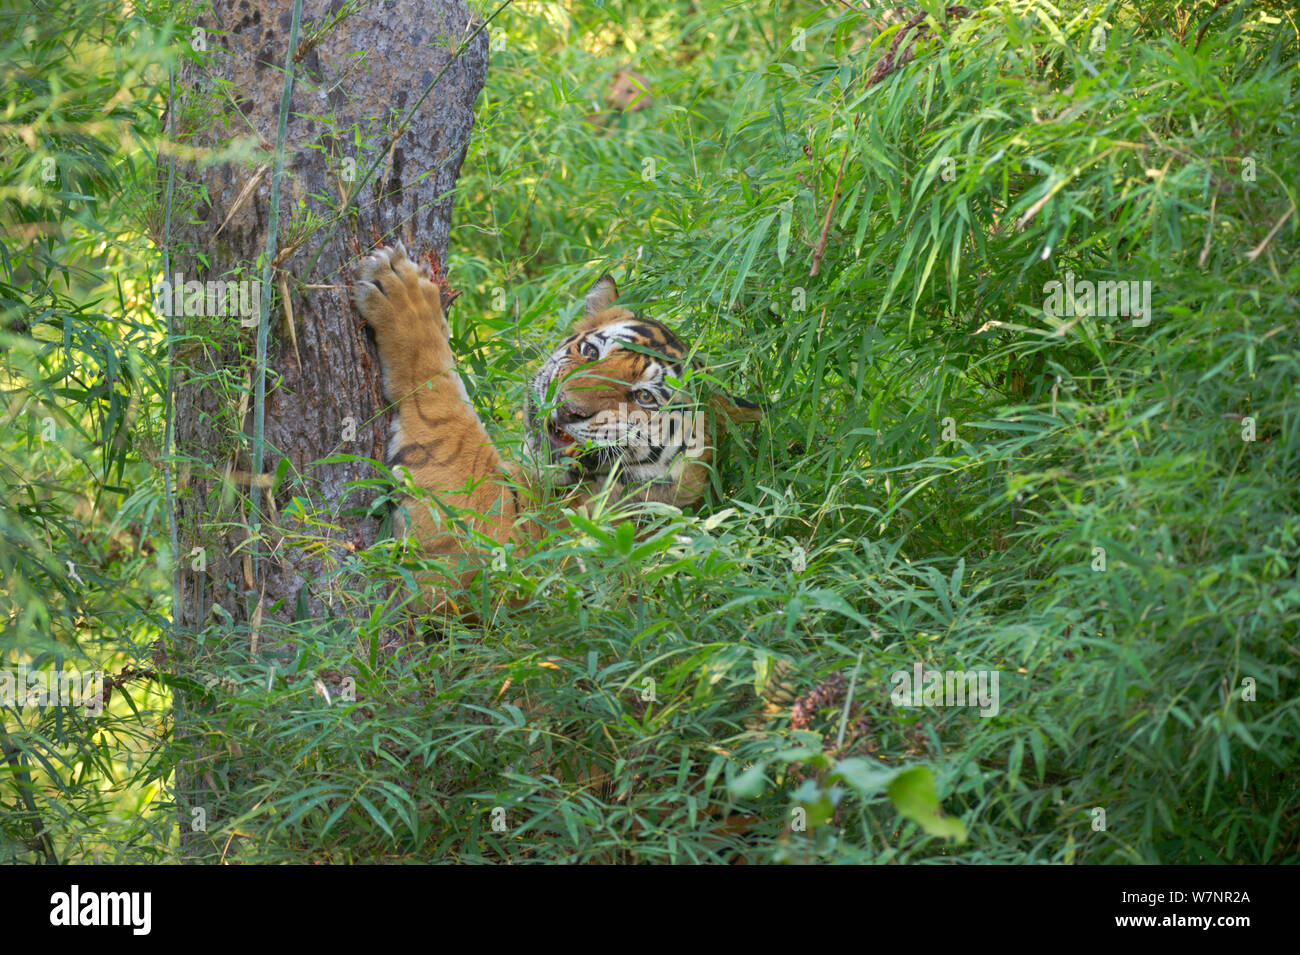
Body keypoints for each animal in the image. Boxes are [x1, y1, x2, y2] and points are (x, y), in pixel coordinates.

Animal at [350, 242, 762, 607]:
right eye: (591, 352)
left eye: (643, 397)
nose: (568, 409)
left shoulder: (486, 539)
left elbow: (445, 402)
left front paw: (402, 290)